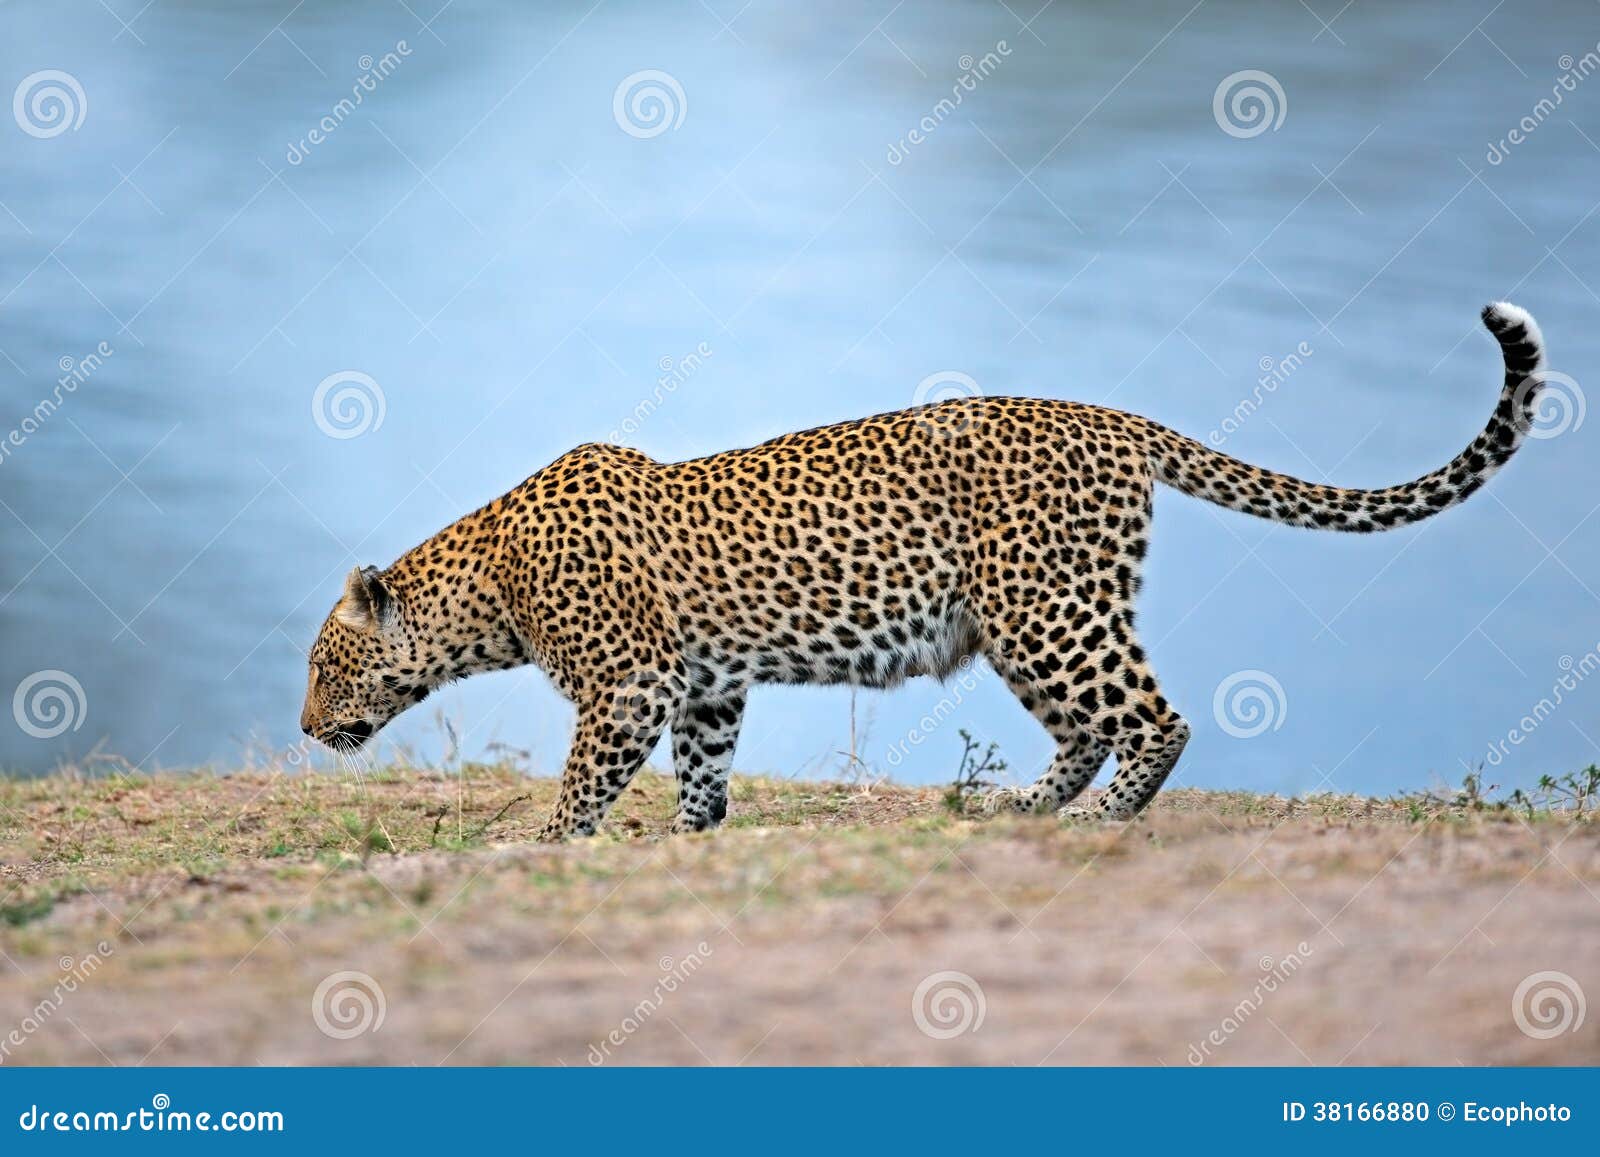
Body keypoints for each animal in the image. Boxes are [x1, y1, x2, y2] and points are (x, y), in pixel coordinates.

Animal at [300, 303, 1547, 839]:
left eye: (322, 665)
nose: (308, 728)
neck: (486, 587)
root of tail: (1112, 416)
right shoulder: (706, 682)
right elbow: (702, 771)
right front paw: (697, 835)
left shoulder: (629, 683)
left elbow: (582, 780)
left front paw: (551, 842)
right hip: (1030, 619)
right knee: (1087, 727)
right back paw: (1014, 804)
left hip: (1043, 610)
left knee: (1152, 715)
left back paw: (1101, 818)